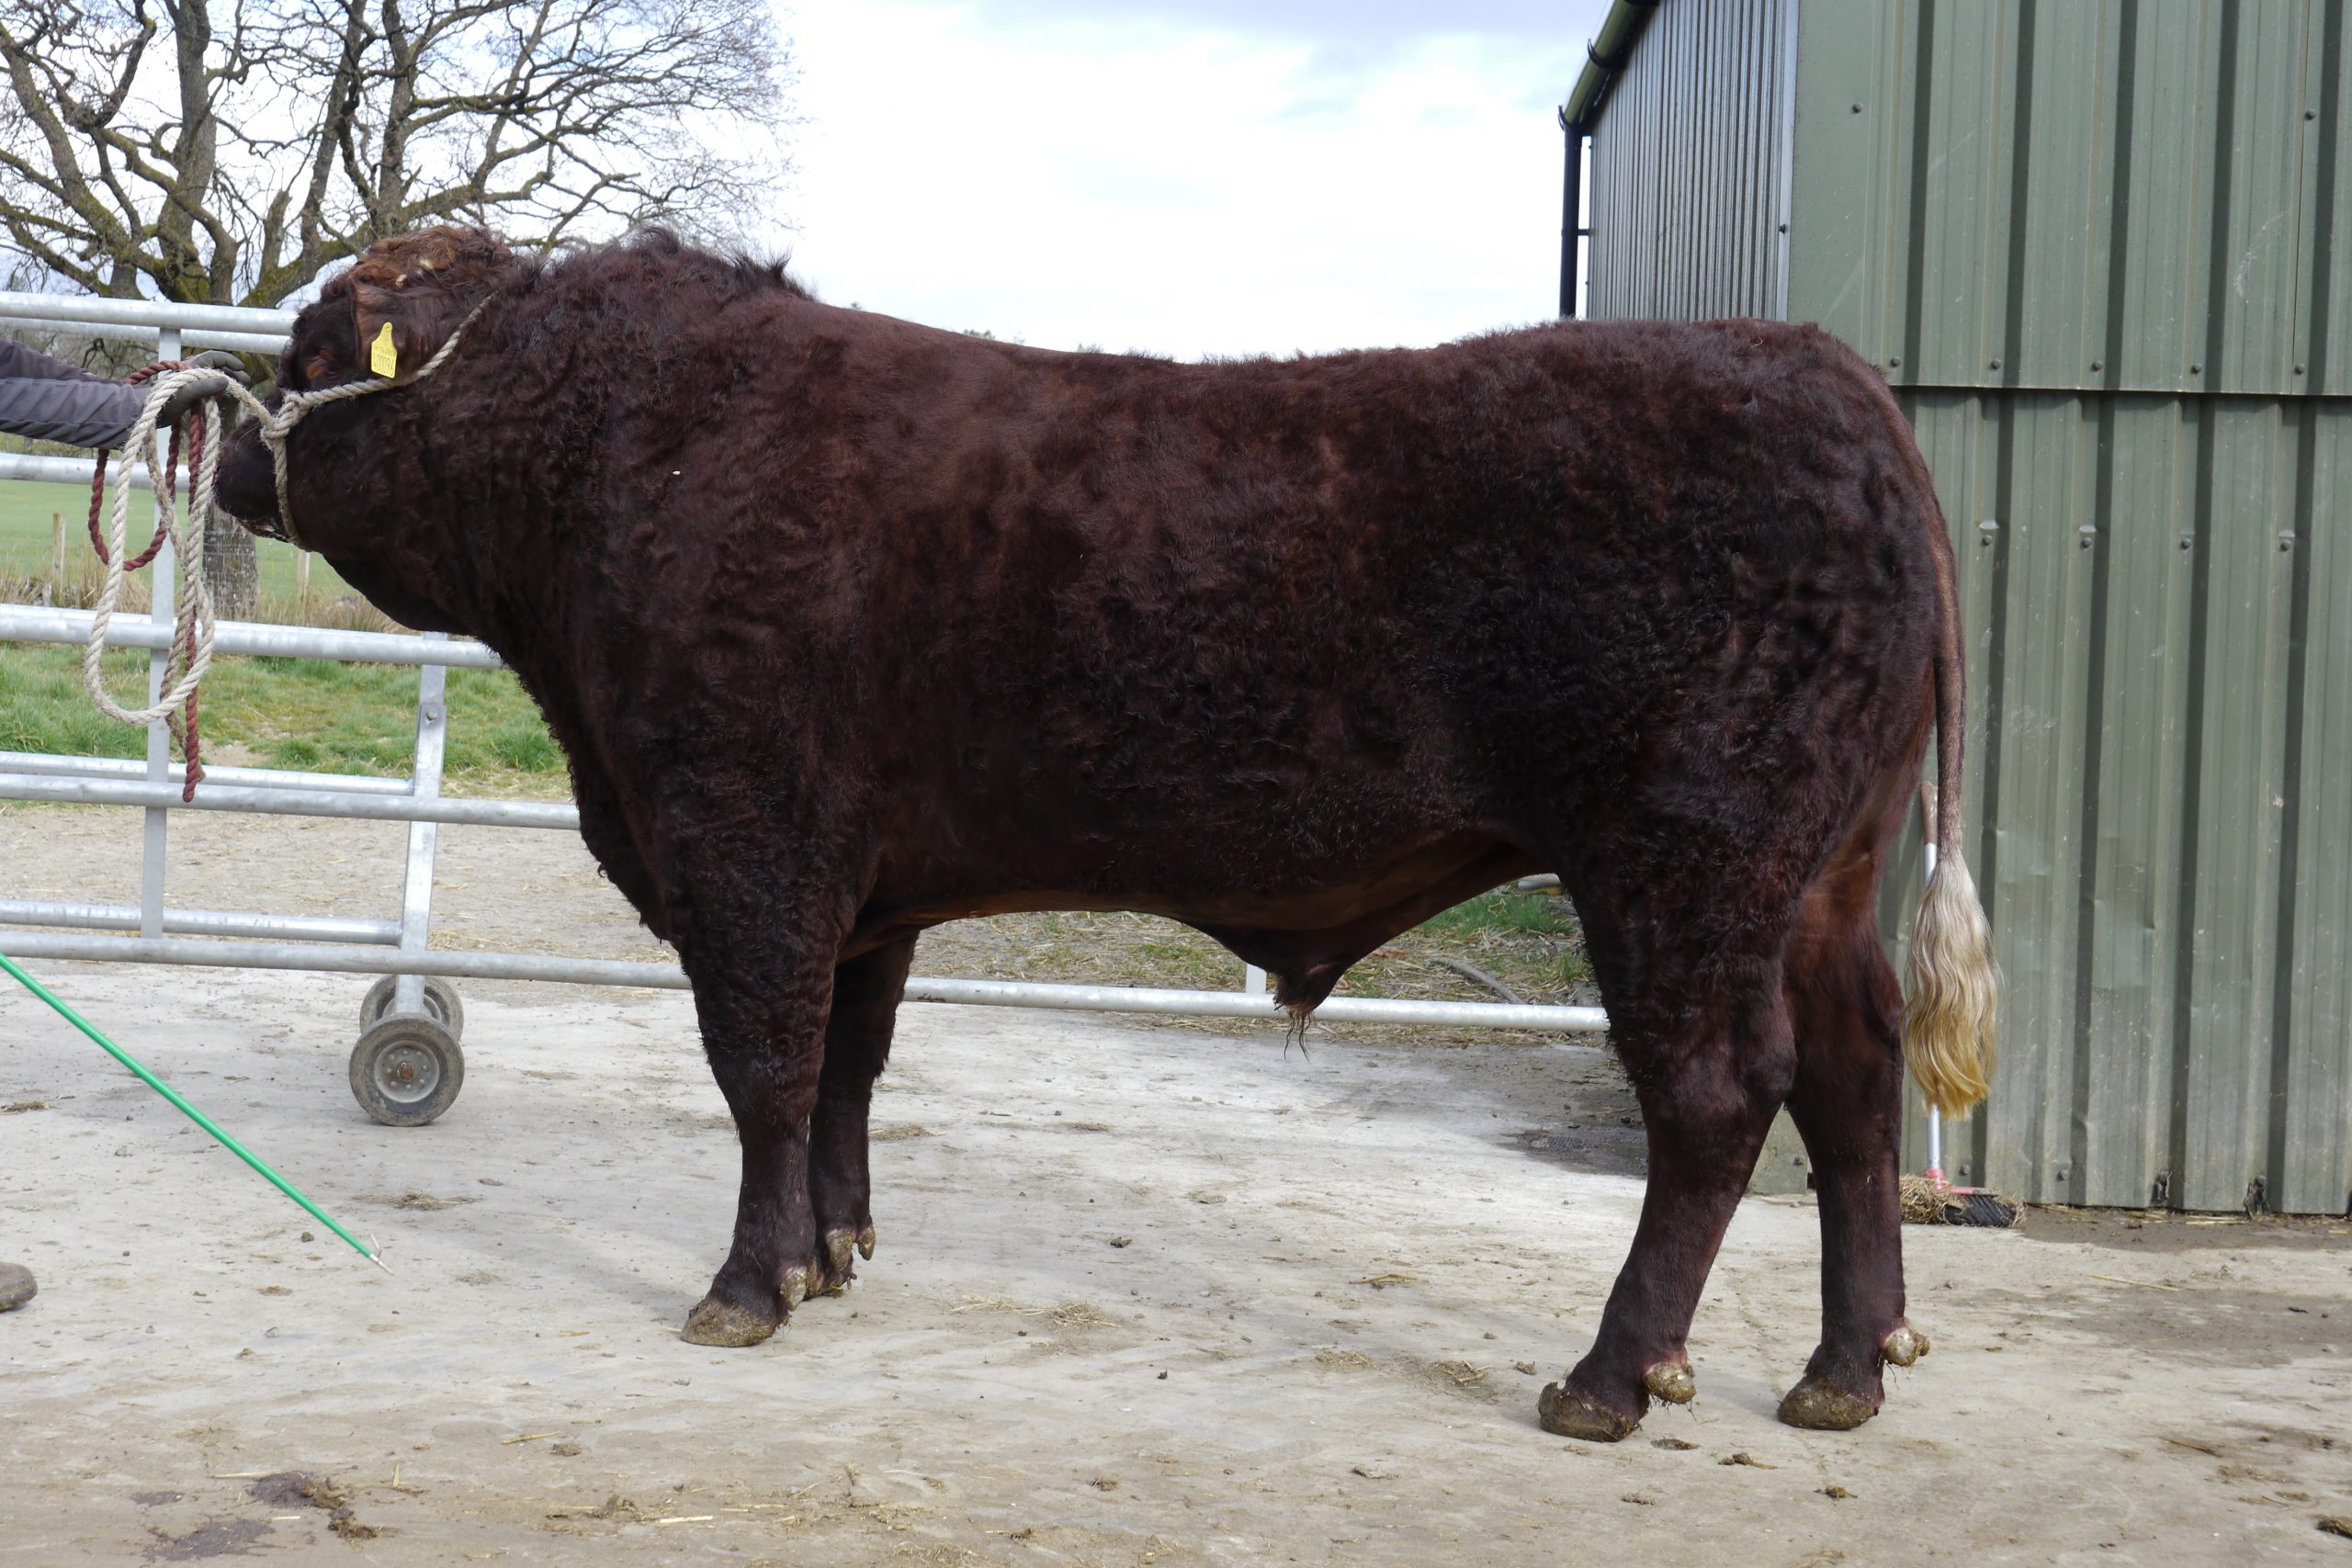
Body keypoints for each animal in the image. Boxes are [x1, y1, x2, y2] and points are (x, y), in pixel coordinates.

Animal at [216, 226, 1997, 1442]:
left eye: (309, 349)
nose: (222, 441)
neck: (618, 454)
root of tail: (1825, 369)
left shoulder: (743, 837)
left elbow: (763, 1065)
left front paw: (745, 1285)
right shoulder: (865, 883)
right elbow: (847, 1064)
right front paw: (836, 1247)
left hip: (1685, 858)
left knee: (1719, 1094)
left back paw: (1613, 1376)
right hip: (1821, 874)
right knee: (1854, 1081)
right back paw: (1849, 1366)